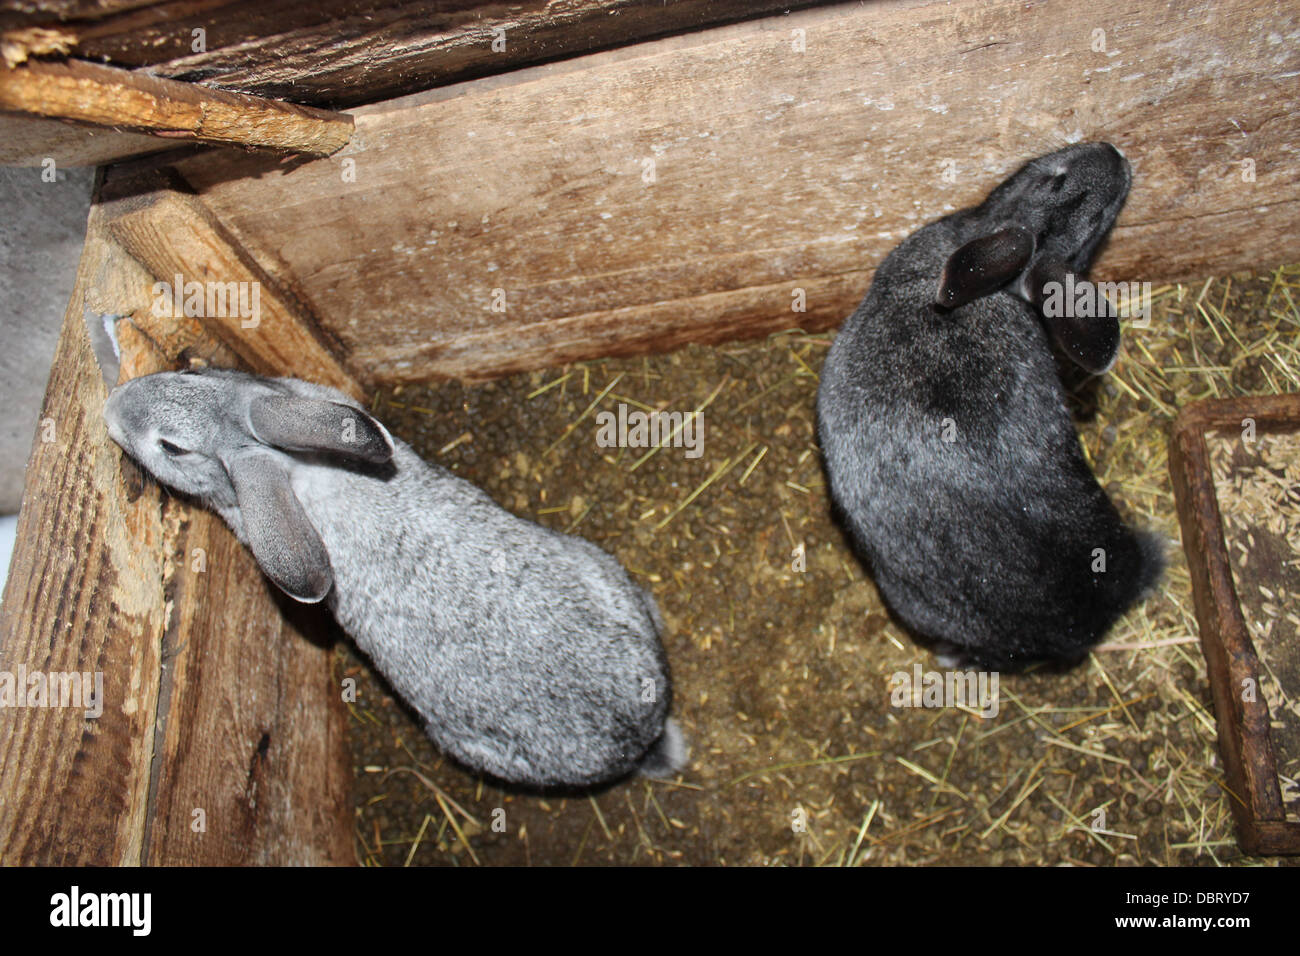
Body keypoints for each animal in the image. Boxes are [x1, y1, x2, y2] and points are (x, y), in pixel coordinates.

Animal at [103, 367, 685, 789]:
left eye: (172, 447)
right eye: (190, 371)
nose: (112, 405)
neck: (294, 469)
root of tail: (638, 742)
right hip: (603, 572)